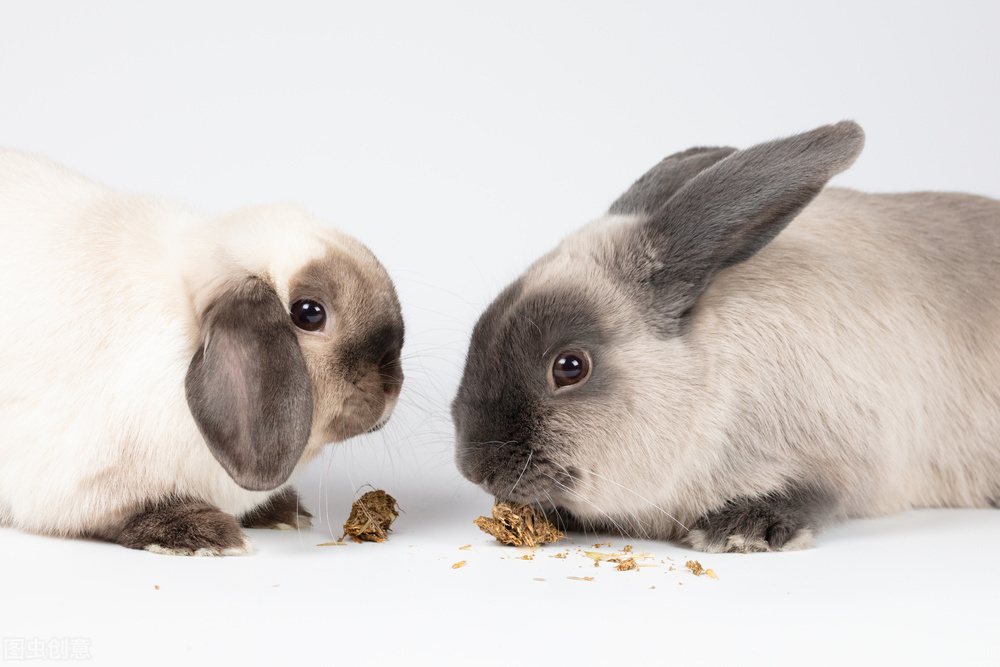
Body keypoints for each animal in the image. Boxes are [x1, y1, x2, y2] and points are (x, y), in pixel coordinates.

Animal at [452, 121, 1000, 553]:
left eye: (570, 367)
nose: (473, 469)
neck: (710, 386)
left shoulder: (853, 455)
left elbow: (818, 495)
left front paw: (741, 530)